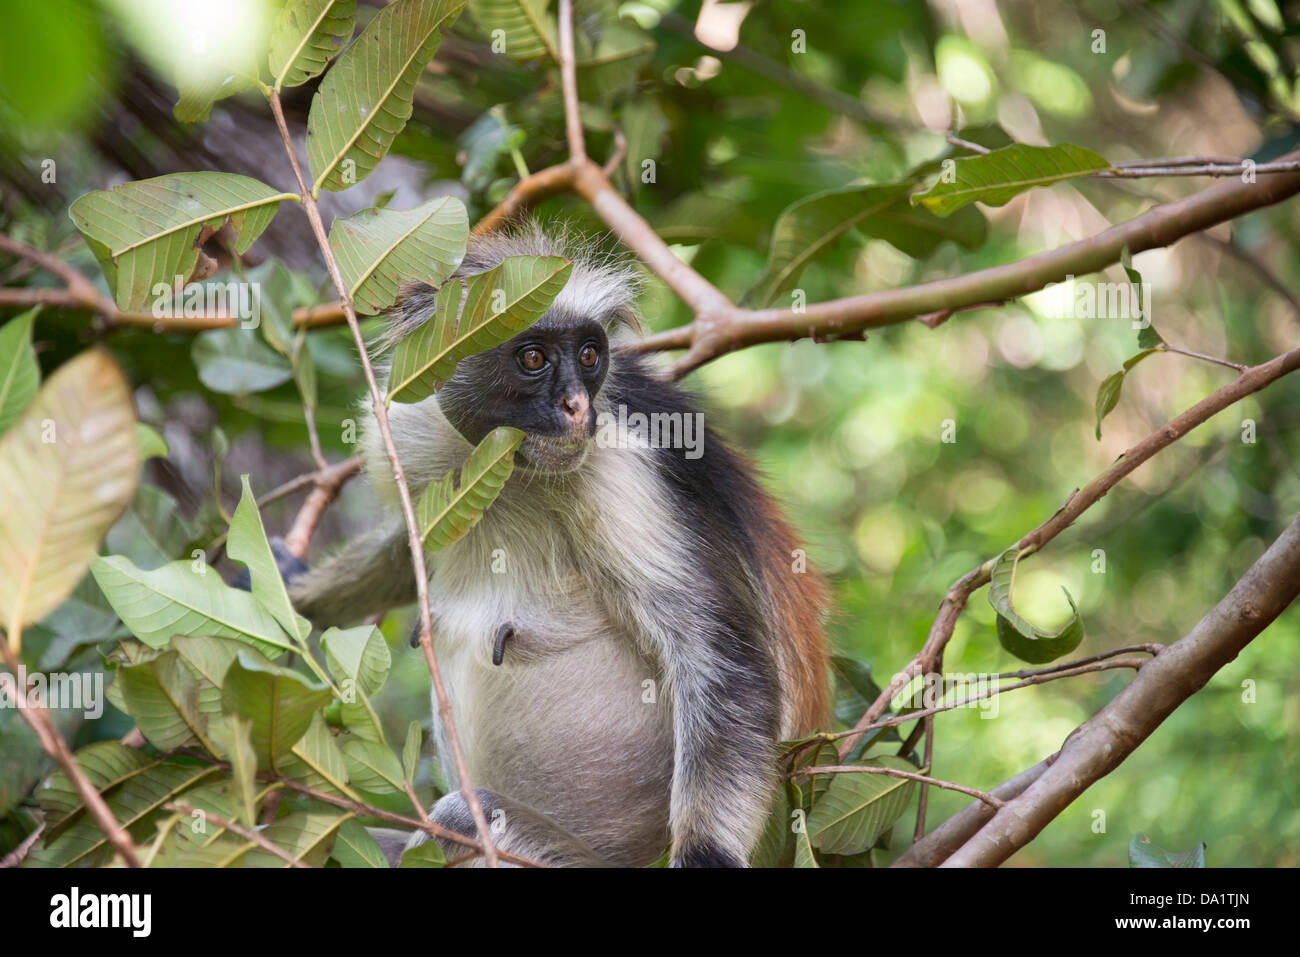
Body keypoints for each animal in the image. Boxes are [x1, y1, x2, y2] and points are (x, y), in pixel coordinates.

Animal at [283, 223, 830, 867]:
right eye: (533, 358)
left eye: (589, 356)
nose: (577, 406)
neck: (503, 472)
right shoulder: (412, 435)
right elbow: (400, 549)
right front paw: (292, 589)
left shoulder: (620, 465)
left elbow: (723, 659)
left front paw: (706, 851)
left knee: (468, 815)